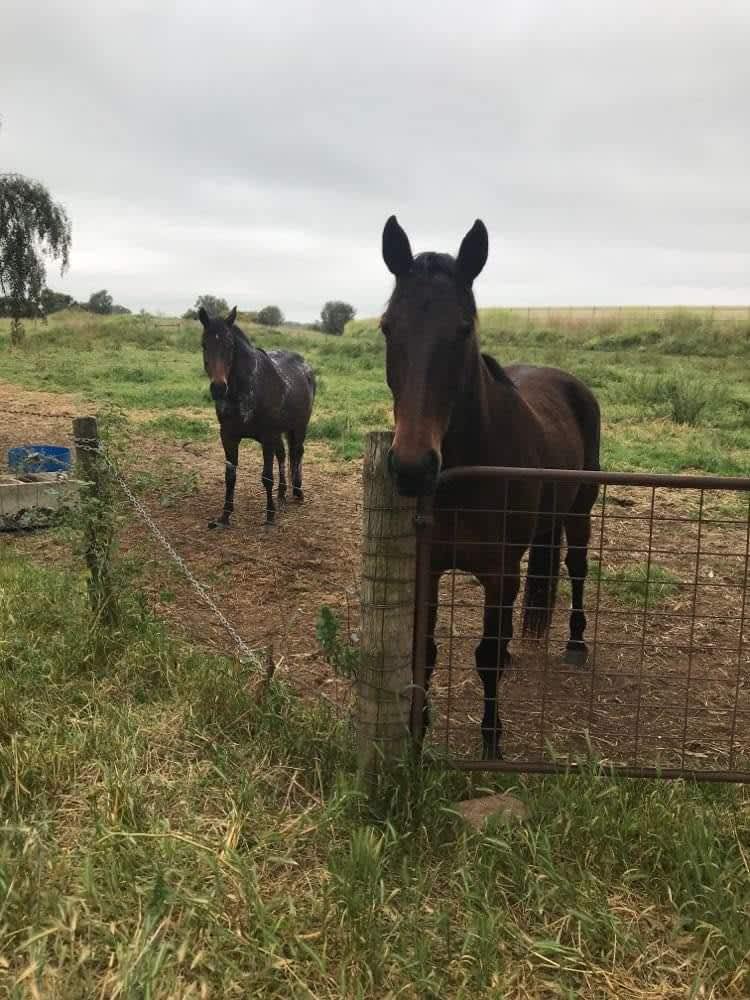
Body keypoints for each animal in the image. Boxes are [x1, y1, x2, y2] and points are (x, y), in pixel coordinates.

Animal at [199, 306, 316, 527]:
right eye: (204, 345)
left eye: (230, 345)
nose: (218, 388)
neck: (246, 389)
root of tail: (305, 366)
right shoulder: (228, 436)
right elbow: (230, 476)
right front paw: (225, 516)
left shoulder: (267, 437)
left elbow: (266, 477)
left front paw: (269, 515)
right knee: (283, 455)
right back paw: (282, 493)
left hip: (299, 427)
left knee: (297, 453)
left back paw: (297, 492)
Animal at [380, 216, 601, 759]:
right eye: (388, 327)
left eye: (463, 329)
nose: (413, 467)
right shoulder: (430, 568)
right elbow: (428, 651)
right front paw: (419, 732)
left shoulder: (501, 574)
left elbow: (485, 656)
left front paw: (491, 741)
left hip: (580, 514)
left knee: (577, 568)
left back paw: (575, 645)